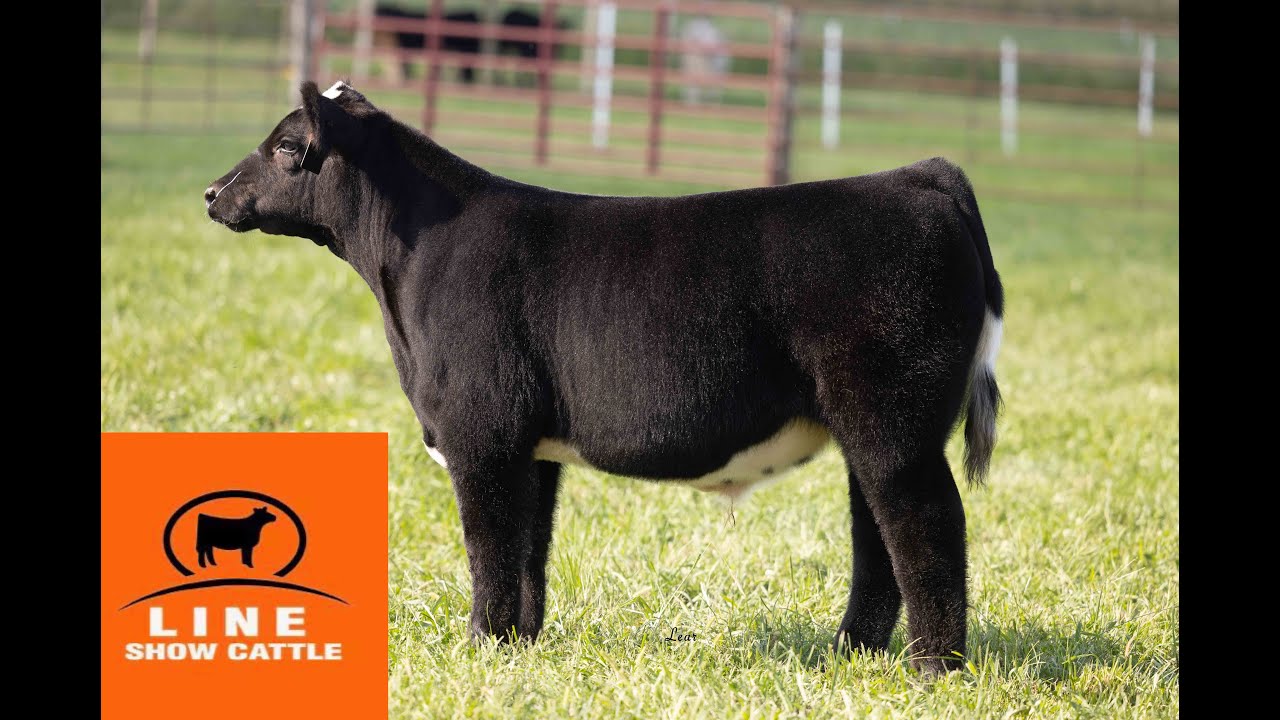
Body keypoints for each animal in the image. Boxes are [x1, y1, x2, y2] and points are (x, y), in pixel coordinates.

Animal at [203, 81, 1005, 675]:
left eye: (287, 148)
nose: (212, 192)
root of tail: (917, 177)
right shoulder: (529, 447)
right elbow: (528, 549)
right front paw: (518, 645)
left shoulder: (480, 434)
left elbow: (489, 546)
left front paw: (481, 646)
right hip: (872, 429)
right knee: (877, 535)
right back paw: (850, 653)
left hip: (893, 424)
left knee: (926, 525)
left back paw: (932, 668)